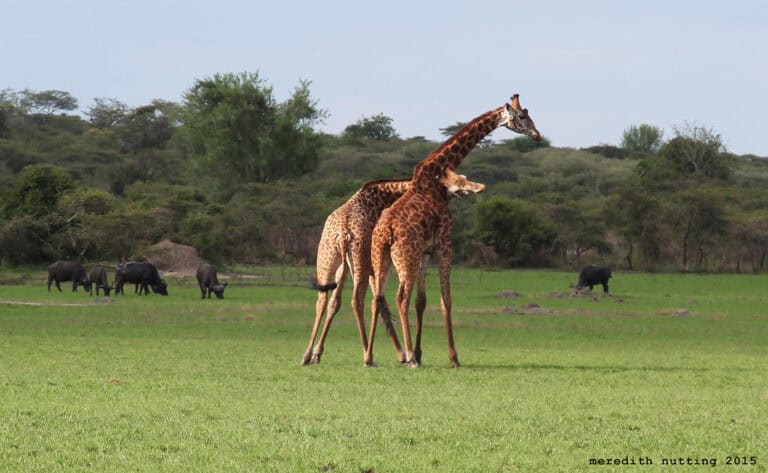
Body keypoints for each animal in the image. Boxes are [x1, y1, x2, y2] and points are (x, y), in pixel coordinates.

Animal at [302, 172, 487, 366]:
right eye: (460, 181)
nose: (479, 187)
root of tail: (343, 233)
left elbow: (360, 302)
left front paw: (317, 353)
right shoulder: (381, 263)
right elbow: (386, 302)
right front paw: (404, 354)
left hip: (328, 260)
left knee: (324, 299)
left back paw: (308, 354)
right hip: (360, 260)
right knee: (357, 300)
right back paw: (369, 354)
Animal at [364, 95, 541, 368]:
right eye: (522, 116)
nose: (538, 135)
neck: (434, 173)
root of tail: (387, 233)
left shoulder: (426, 251)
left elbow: (422, 301)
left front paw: (421, 353)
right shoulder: (446, 243)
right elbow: (446, 299)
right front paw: (453, 358)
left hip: (380, 256)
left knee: (377, 299)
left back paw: (370, 357)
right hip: (405, 256)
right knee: (400, 298)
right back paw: (408, 358)